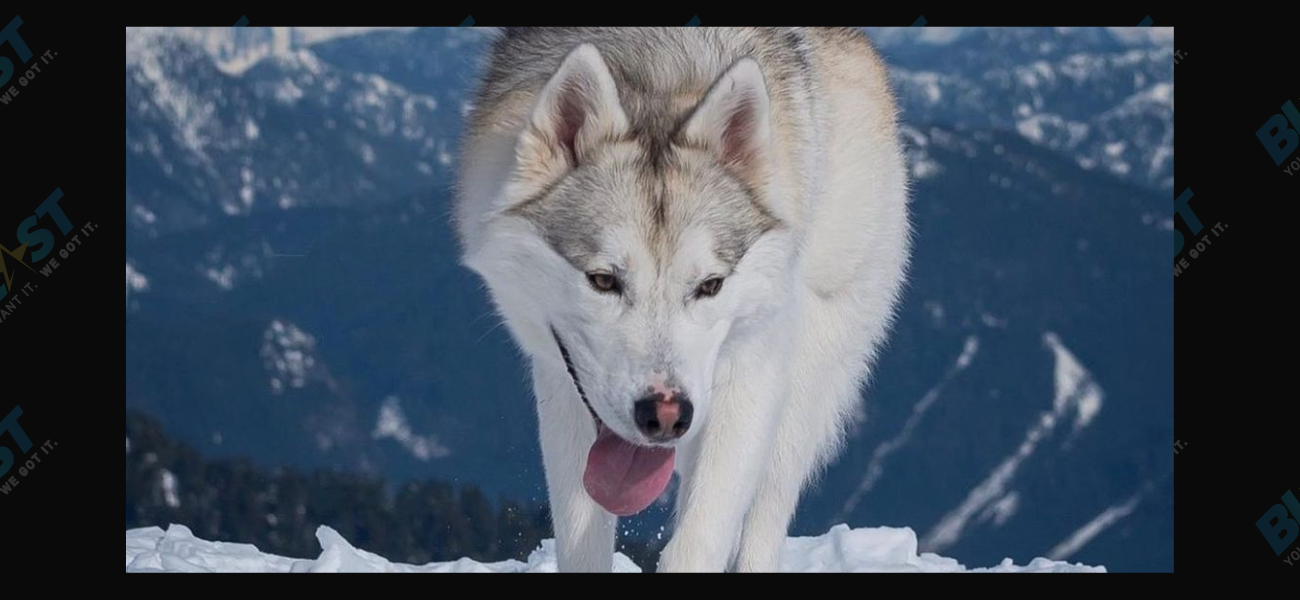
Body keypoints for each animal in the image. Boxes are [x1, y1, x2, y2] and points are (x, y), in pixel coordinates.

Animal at [455, 27, 911, 572]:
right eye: (603, 280)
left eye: (710, 285)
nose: (667, 415)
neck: (655, 73)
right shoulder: (561, 383)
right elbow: (583, 540)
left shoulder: (750, 374)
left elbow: (700, 539)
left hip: (804, 385)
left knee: (767, 510)